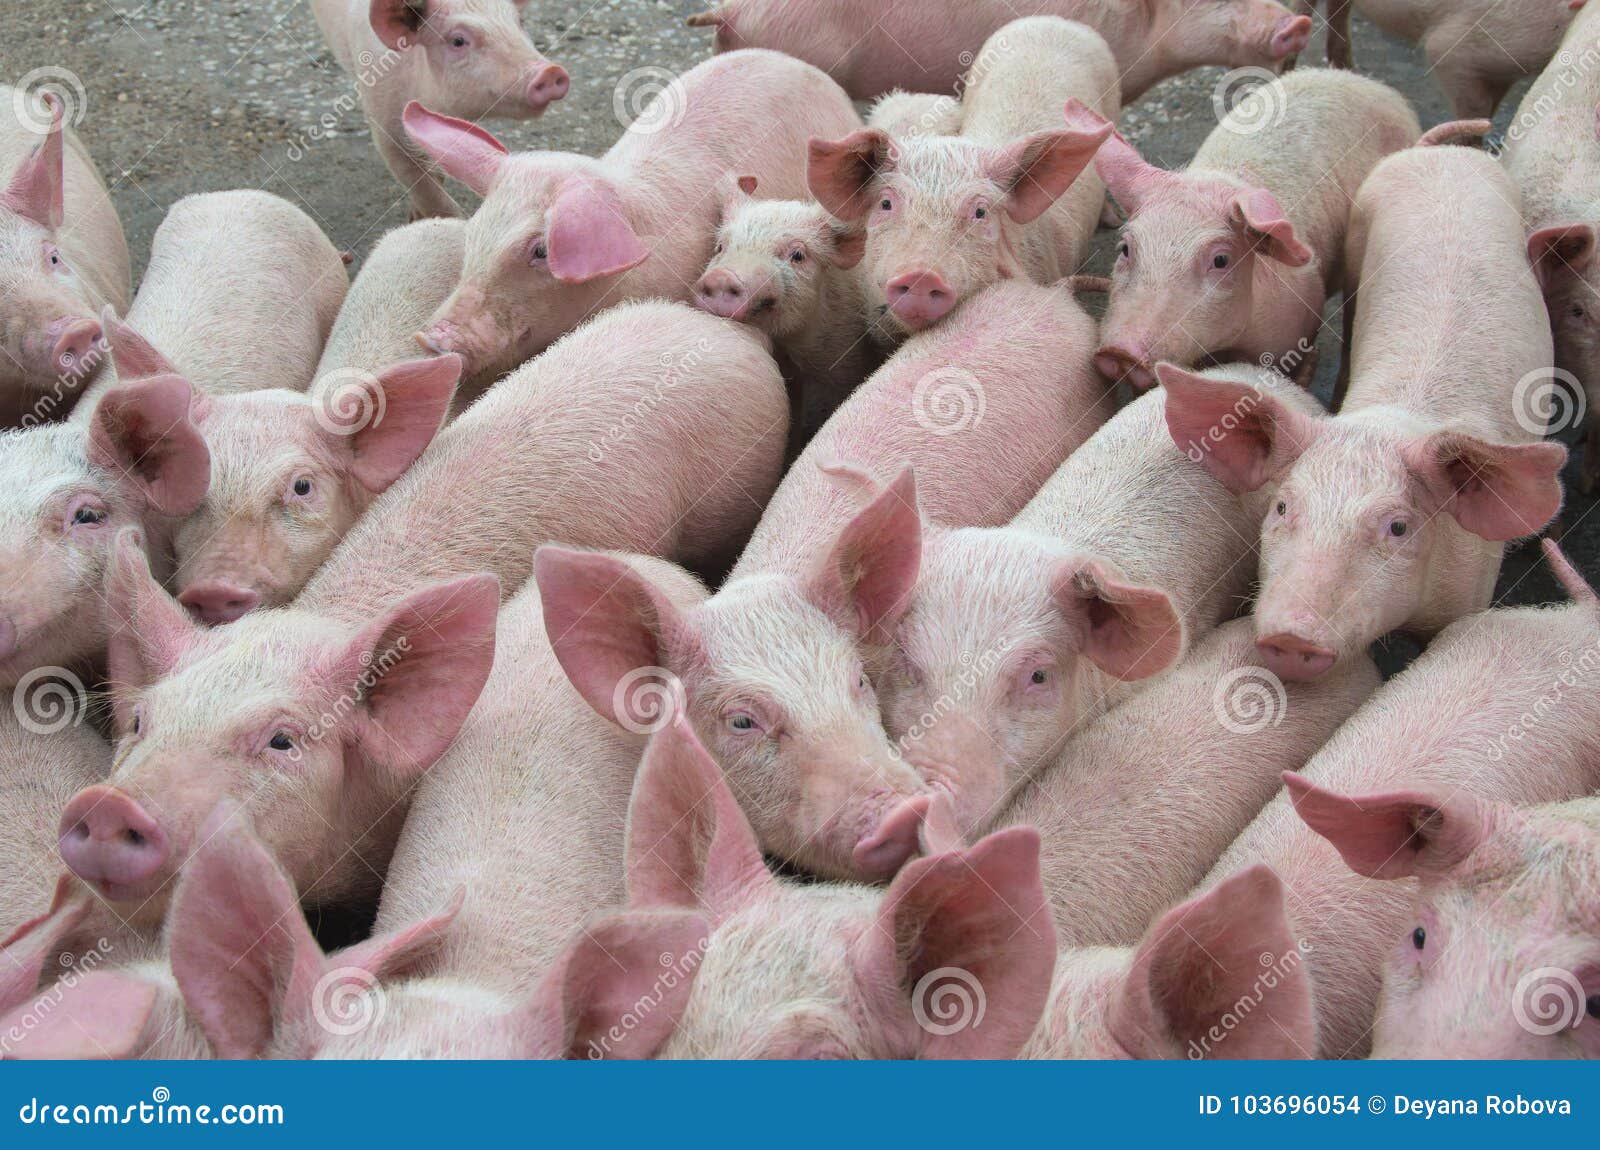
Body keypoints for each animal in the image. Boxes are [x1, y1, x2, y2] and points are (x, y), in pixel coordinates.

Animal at [308, 0, 570, 220]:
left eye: (520, 23)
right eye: (458, 41)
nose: (550, 72)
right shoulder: (383, 122)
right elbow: (429, 193)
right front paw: (421, 220)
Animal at [1085, 70, 1419, 391]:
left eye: (1221, 260)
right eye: (1125, 248)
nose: (1121, 351)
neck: (1226, 346)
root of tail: (1365, 82)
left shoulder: (1296, 328)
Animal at [1161, 146, 1568, 683]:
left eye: (1398, 527)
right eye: (1283, 506)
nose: (1290, 637)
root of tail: (1443, 151)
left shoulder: (1467, 594)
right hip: (1357, 252)